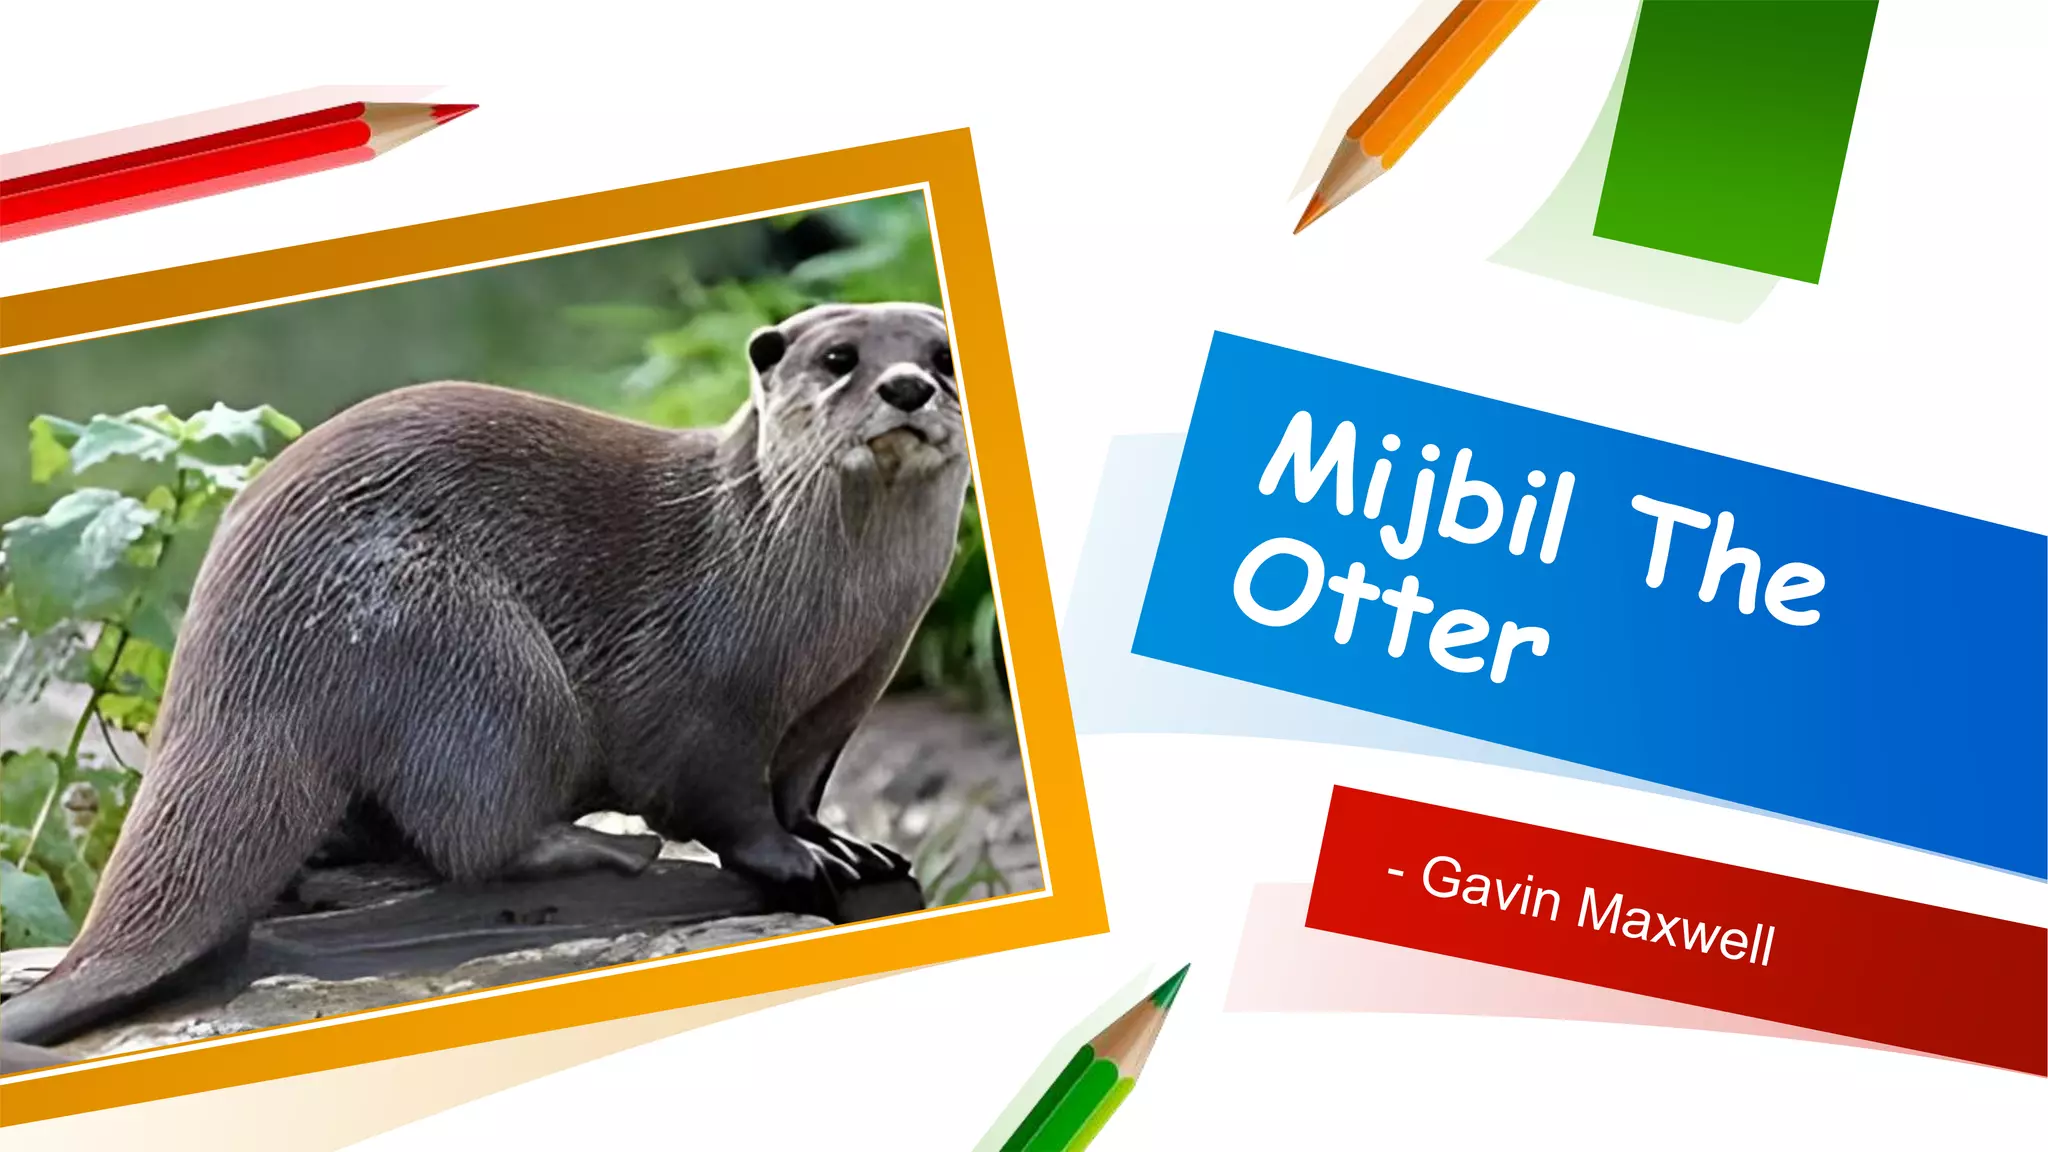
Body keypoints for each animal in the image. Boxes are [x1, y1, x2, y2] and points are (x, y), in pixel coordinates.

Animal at [0, 301, 970, 1067]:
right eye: (839, 358)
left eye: (942, 356)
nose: (908, 389)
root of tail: (238, 655)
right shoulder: (709, 697)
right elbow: (724, 800)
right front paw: (795, 860)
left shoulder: (849, 694)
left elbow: (801, 786)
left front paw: (849, 845)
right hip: (471, 657)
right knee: (472, 835)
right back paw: (601, 850)